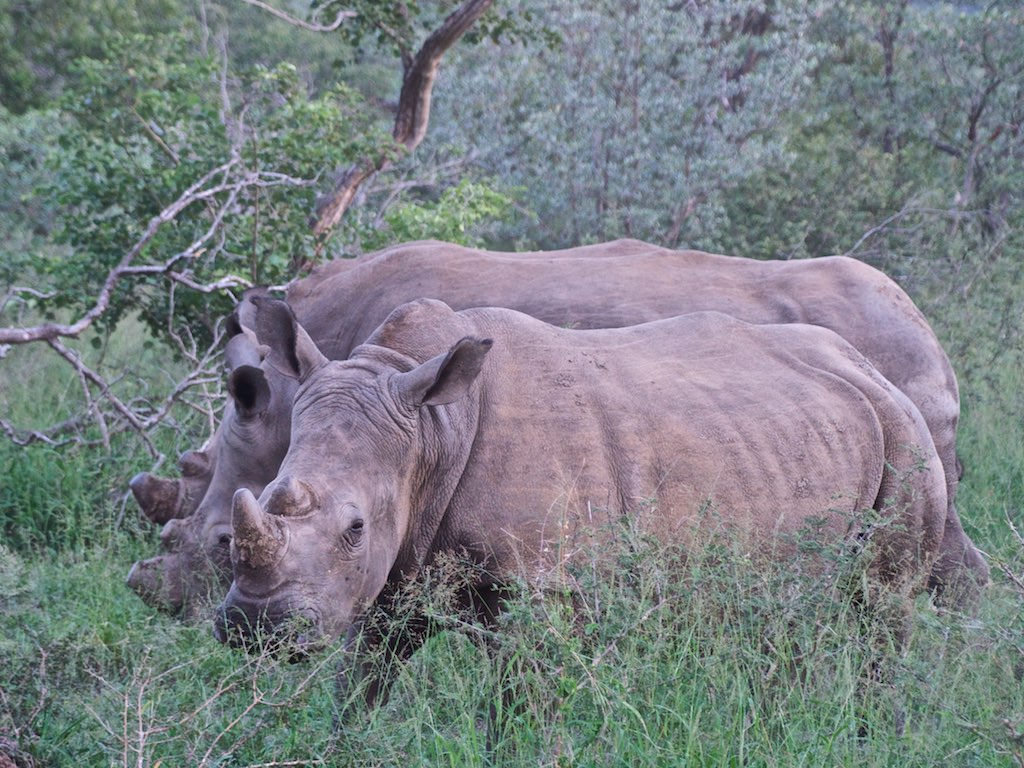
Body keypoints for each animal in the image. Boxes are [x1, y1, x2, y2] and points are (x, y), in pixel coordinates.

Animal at [213, 298, 947, 704]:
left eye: (355, 528)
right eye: (264, 498)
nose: (254, 627)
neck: (431, 427)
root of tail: (869, 367)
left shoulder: (545, 596)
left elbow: (520, 716)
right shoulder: (394, 581)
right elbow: (358, 693)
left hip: (908, 436)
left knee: (882, 612)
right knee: (785, 621)